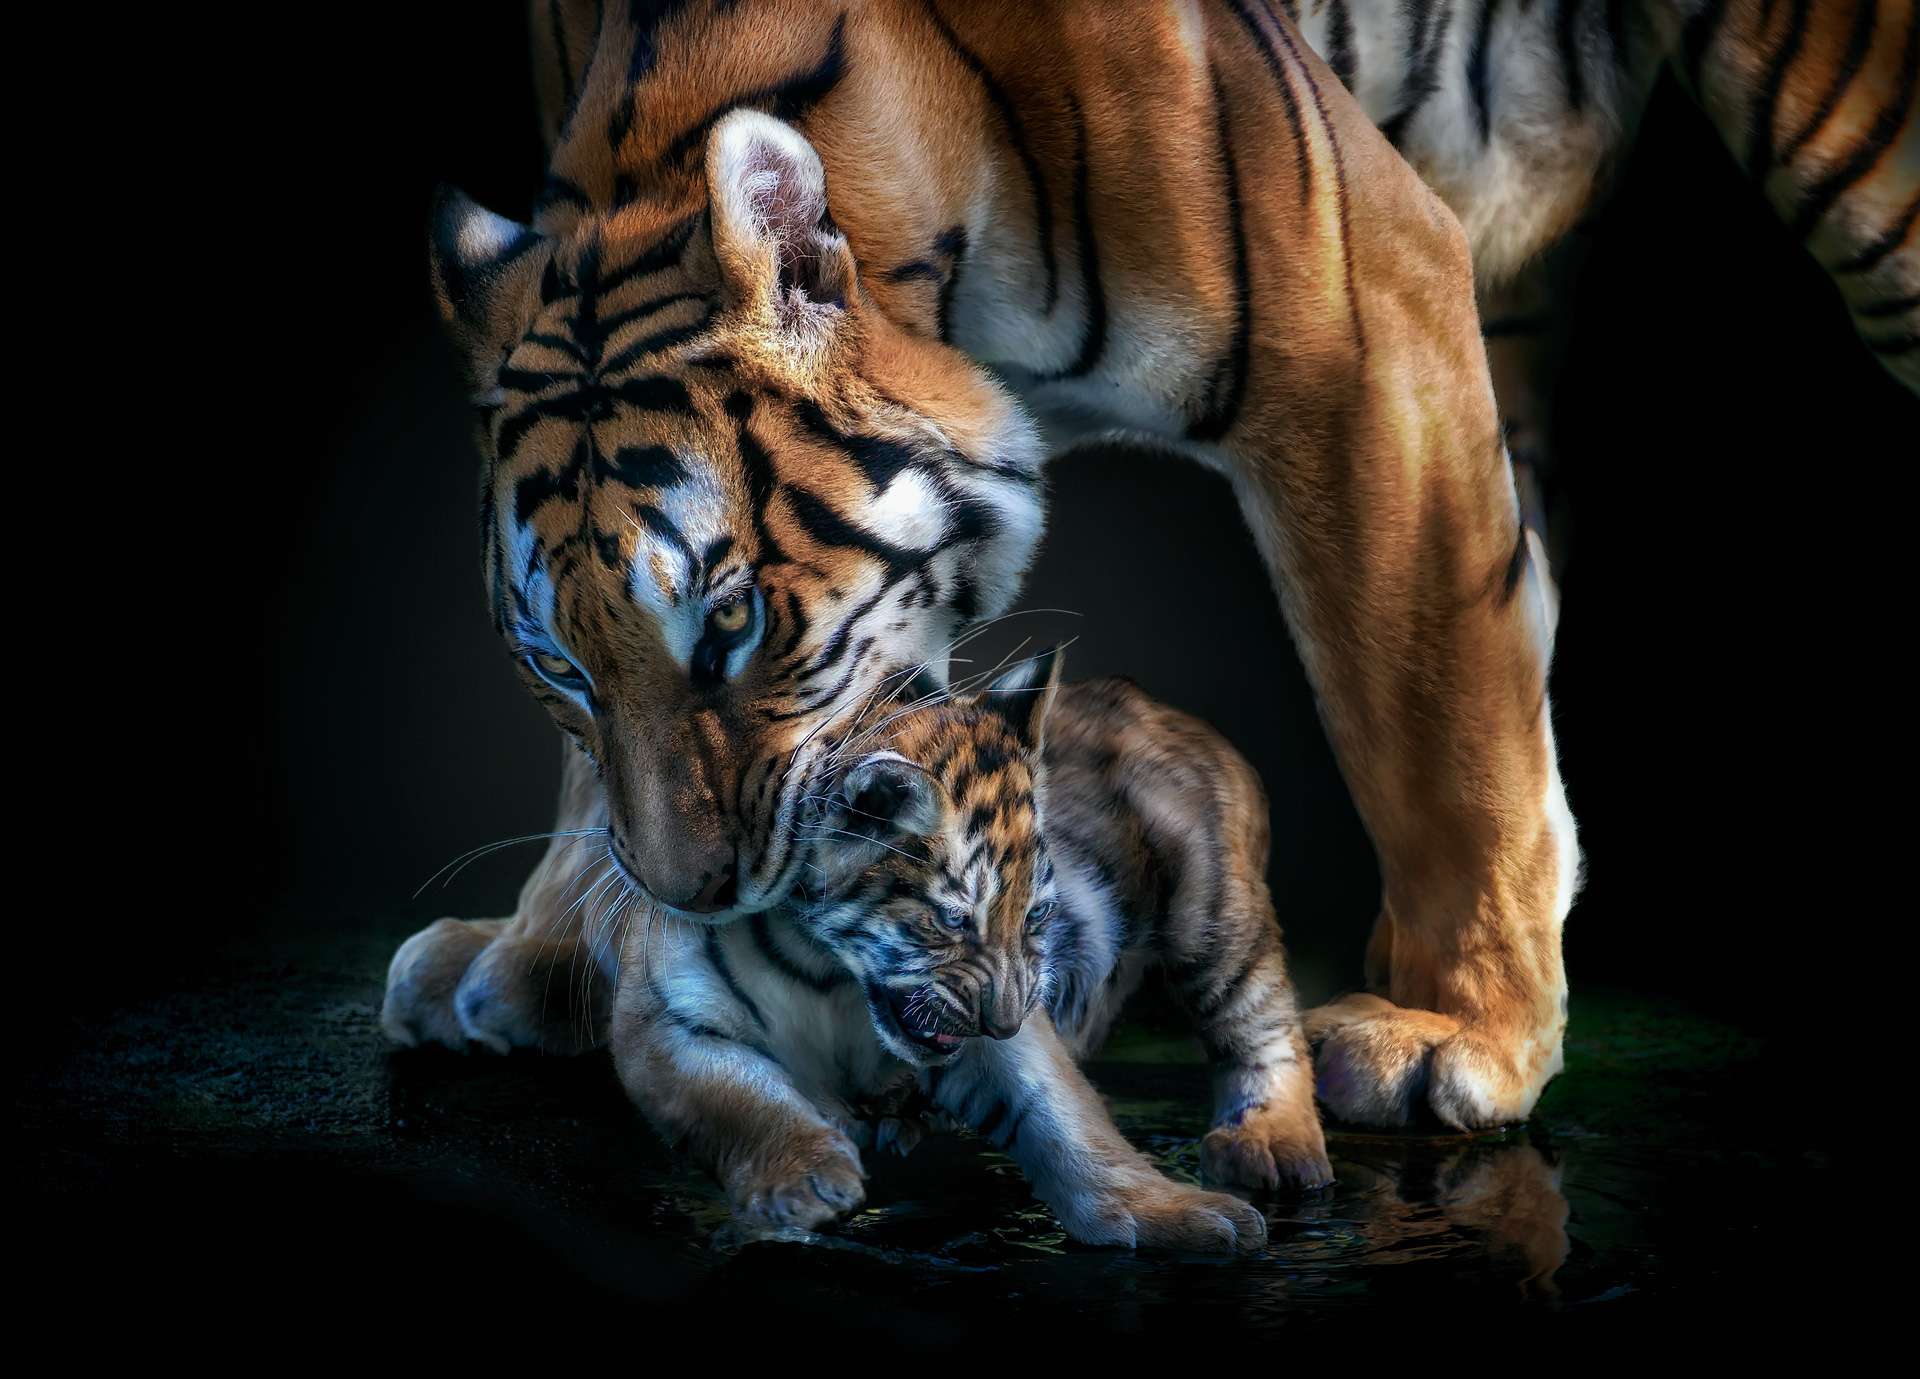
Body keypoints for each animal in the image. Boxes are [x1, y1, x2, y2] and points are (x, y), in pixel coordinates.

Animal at [383, 0, 1598, 1134]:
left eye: (730, 623)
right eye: (559, 666)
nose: (699, 895)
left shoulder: (1362, 312)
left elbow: (1438, 711)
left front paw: (1462, 1030)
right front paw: (550, 954)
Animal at [603, 646, 1325, 1246]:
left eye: (1036, 917)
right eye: (952, 921)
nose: (1002, 1023)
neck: (825, 965)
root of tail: (1144, 696)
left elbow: (1069, 1120)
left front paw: (1181, 1212)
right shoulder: (668, 1023)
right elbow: (742, 1102)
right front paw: (806, 1181)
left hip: (1214, 910)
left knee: (1259, 1018)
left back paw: (1273, 1143)